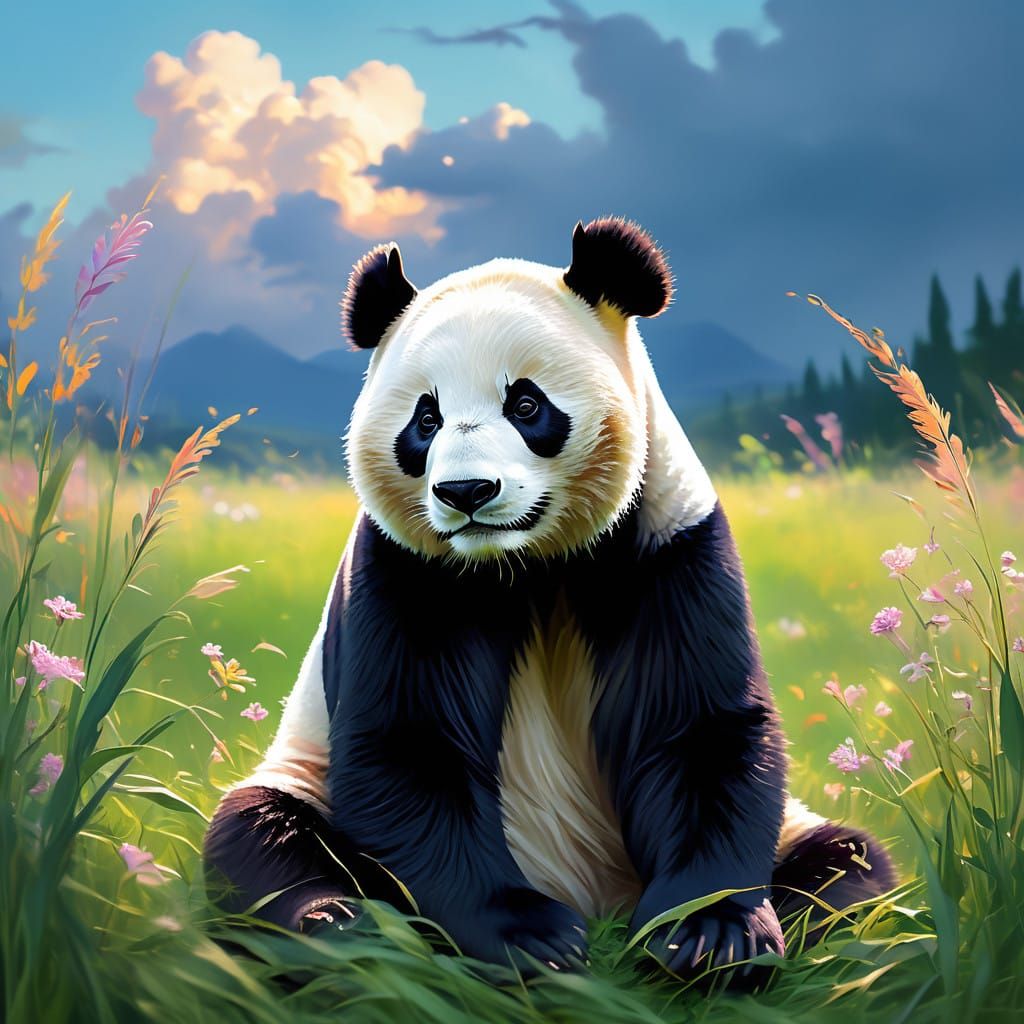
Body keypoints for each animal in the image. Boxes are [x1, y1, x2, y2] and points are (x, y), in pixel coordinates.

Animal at [204, 217, 895, 985]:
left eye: (526, 404)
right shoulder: (405, 571)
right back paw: (338, 925)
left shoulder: (670, 546)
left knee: (851, 863)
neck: (527, 565)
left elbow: (698, 730)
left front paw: (709, 935)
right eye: (425, 419)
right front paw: (530, 936)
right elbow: (407, 745)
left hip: (788, 833)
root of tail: (598, 895)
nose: (466, 492)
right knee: (260, 837)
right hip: (303, 772)